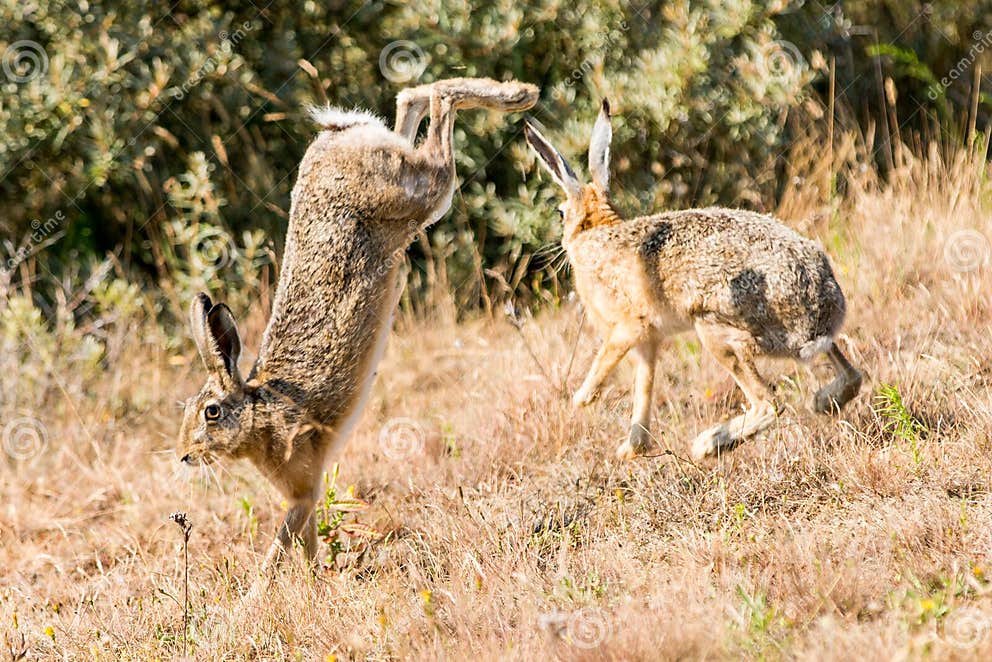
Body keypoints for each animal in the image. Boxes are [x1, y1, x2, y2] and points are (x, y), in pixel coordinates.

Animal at [178, 78, 538, 572]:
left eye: (211, 412)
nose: (184, 456)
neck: (259, 411)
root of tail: (338, 133)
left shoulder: (302, 488)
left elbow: (282, 544)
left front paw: (262, 587)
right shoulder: (308, 494)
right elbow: (307, 540)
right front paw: (317, 577)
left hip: (421, 193)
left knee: (441, 109)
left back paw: (517, 95)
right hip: (406, 181)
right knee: (410, 103)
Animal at [523, 100, 862, 461]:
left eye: (560, 212)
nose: (562, 240)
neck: (597, 231)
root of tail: (815, 325)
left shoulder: (630, 326)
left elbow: (606, 362)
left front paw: (582, 400)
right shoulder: (649, 340)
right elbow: (644, 383)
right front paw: (631, 448)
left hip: (718, 331)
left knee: (769, 404)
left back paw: (708, 444)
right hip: (801, 340)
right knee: (853, 375)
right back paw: (823, 402)